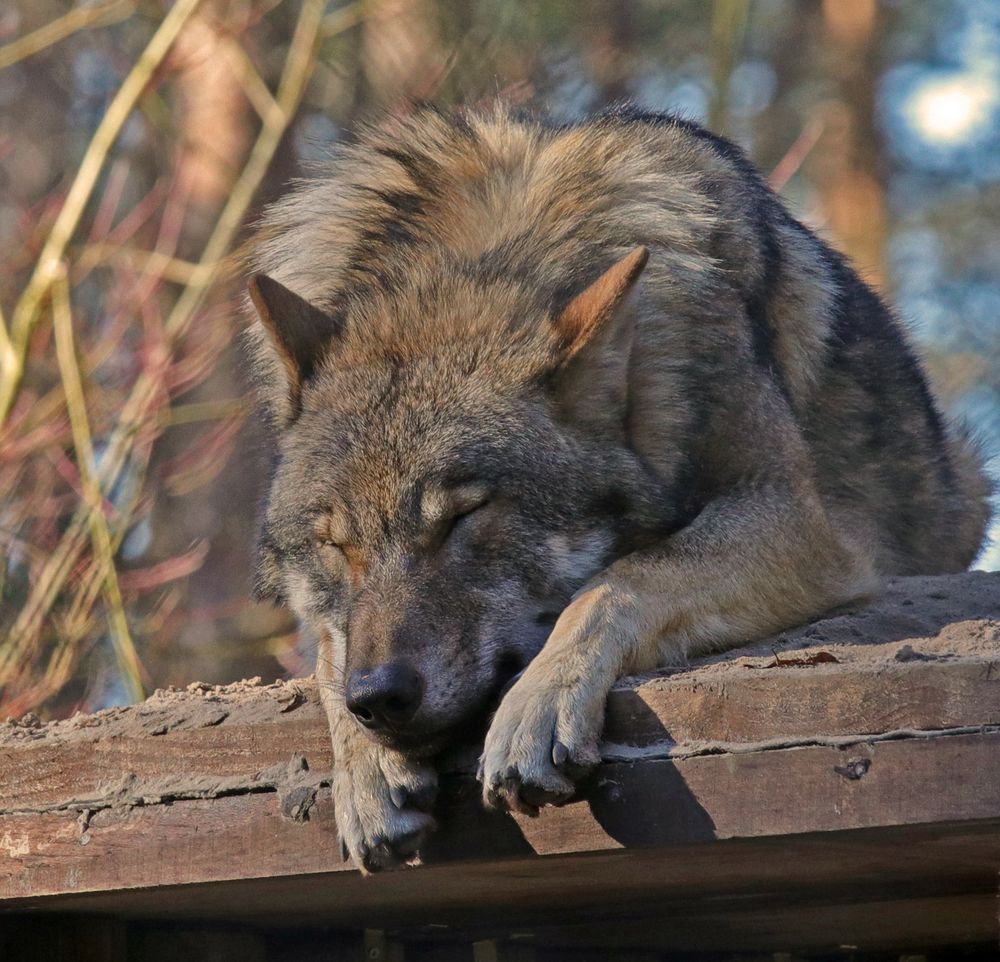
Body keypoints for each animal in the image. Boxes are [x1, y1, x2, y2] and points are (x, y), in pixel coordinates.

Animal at [244, 104, 991, 872]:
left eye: (463, 517)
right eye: (336, 547)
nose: (379, 698)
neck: (485, 256)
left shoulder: (801, 521)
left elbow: (622, 580)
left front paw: (538, 705)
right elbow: (329, 649)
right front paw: (363, 769)